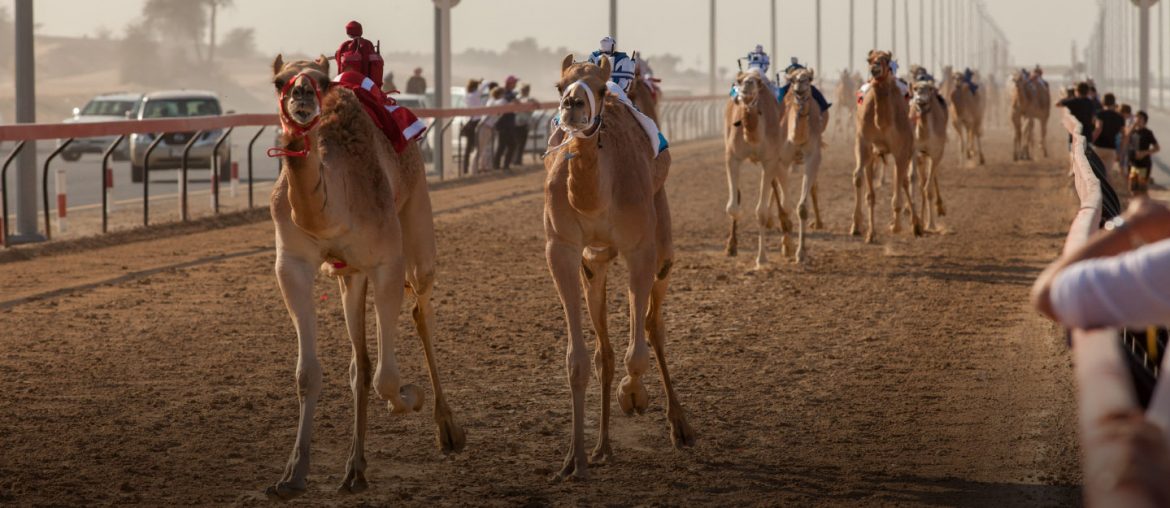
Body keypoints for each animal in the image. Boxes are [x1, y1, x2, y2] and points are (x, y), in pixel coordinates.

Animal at [264, 55, 464, 499]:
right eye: (279, 81)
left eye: (321, 81)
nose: (302, 95)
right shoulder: (291, 265)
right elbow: (309, 374)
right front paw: (292, 475)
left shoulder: (387, 261)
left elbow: (387, 379)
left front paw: (410, 396)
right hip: (349, 274)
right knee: (360, 361)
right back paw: (355, 469)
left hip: (416, 222)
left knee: (421, 311)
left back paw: (448, 429)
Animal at [542, 54, 694, 481]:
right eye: (559, 85)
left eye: (600, 86)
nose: (572, 105)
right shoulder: (561, 248)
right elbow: (577, 360)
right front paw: (573, 460)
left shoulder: (639, 248)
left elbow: (638, 349)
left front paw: (634, 396)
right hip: (595, 261)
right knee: (604, 352)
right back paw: (601, 448)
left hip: (661, 236)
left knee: (654, 326)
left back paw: (680, 427)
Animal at [723, 69, 795, 267]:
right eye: (739, 80)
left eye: (757, 82)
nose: (747, 84)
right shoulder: (732, 157)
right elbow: (733, 207)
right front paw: (731, 246)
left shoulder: (770, 159)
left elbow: (761, 212)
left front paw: (761, 259)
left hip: (779, 156)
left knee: (786, 201)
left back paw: (789, 244)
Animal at [852, 50, 922, 243]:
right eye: (869, 59)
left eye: (886, 59)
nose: (875, 68)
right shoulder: (865, 144)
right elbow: (865, 188)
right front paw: (869, 233)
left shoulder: (901, 149)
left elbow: (899, 185)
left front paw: (897, 226)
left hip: (908, 148)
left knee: (904, 180)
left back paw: (914, 224)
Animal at [909, 78, 949, 231]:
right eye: (915, 88)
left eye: (929, 89)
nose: (920, 100)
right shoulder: (915, 151)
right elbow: (915, 181)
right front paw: (916, 223)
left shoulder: (936, 152)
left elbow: (929, 188)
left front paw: (931, 224)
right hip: (922, 157)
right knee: (922, 183)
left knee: (931, 179)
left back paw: (939, 209)